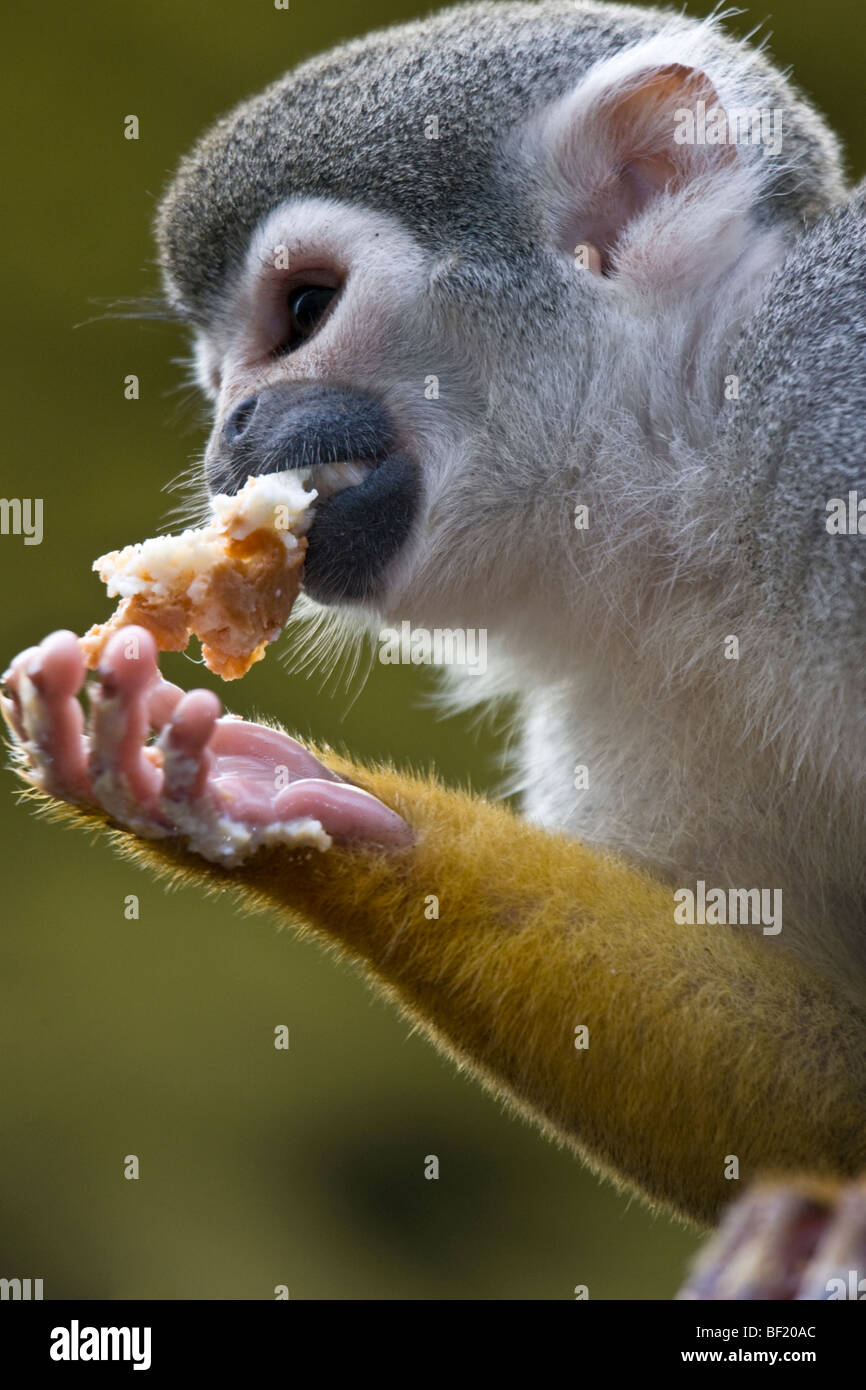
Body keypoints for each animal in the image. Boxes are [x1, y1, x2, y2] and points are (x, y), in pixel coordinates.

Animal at [4, 1, 866, 1299]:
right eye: (214, 377)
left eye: (303, 312)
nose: (227, 435)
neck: (695, 472)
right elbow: (811, 1076)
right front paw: (275, 801)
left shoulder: (823, 392)